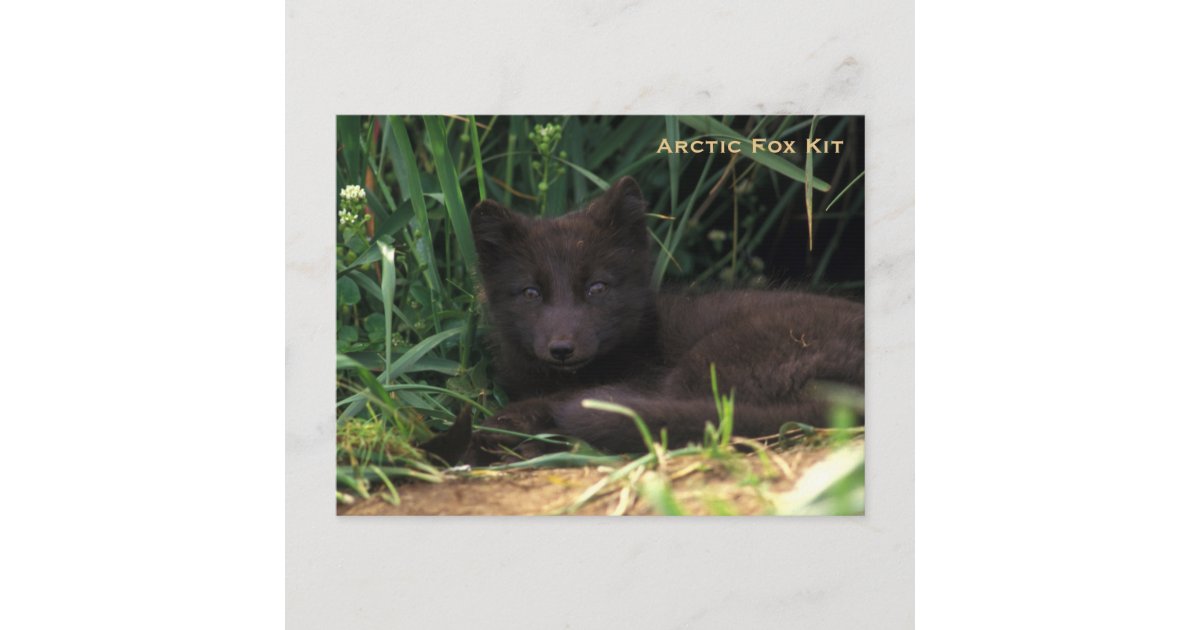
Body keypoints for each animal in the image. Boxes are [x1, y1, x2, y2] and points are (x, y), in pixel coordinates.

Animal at [463, 176, 864, 462]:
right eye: (531, 292)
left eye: (597, 287)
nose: (562, 349)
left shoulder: (644, 380)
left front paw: (506, 427)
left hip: (707, 361)